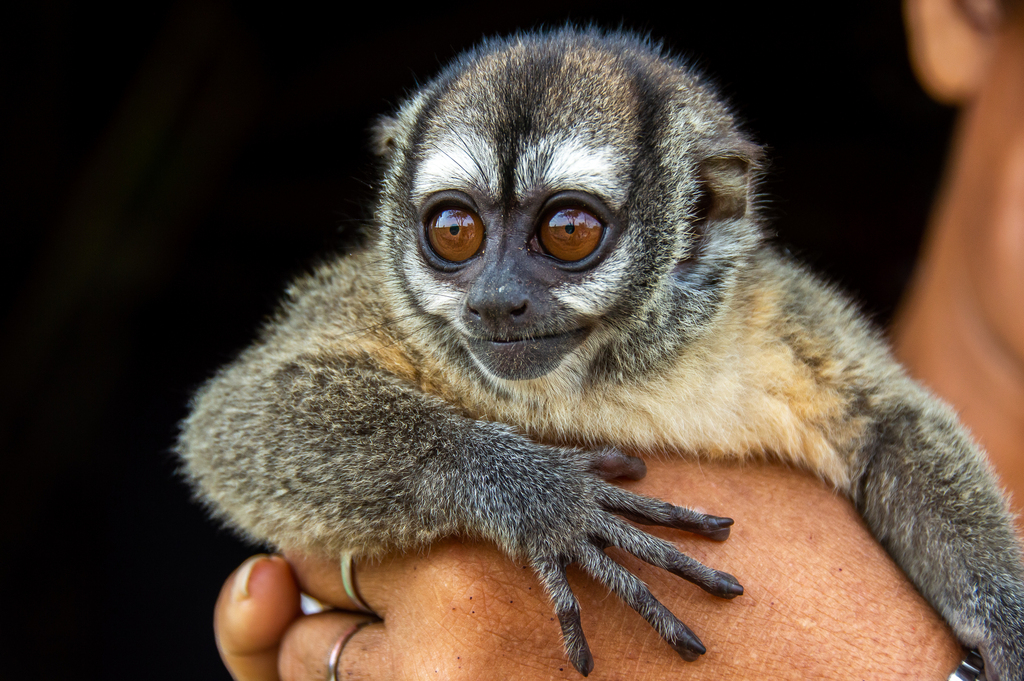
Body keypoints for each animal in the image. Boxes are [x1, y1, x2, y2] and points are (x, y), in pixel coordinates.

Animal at [177, 28, 1024, 679]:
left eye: (569, 231)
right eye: (454, 229)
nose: (496, 301)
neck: (597, 374)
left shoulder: (767, 315)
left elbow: (890, 419)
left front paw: (1009, 628)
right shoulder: (377, 303)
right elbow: (234, 419)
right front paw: (546, 499)